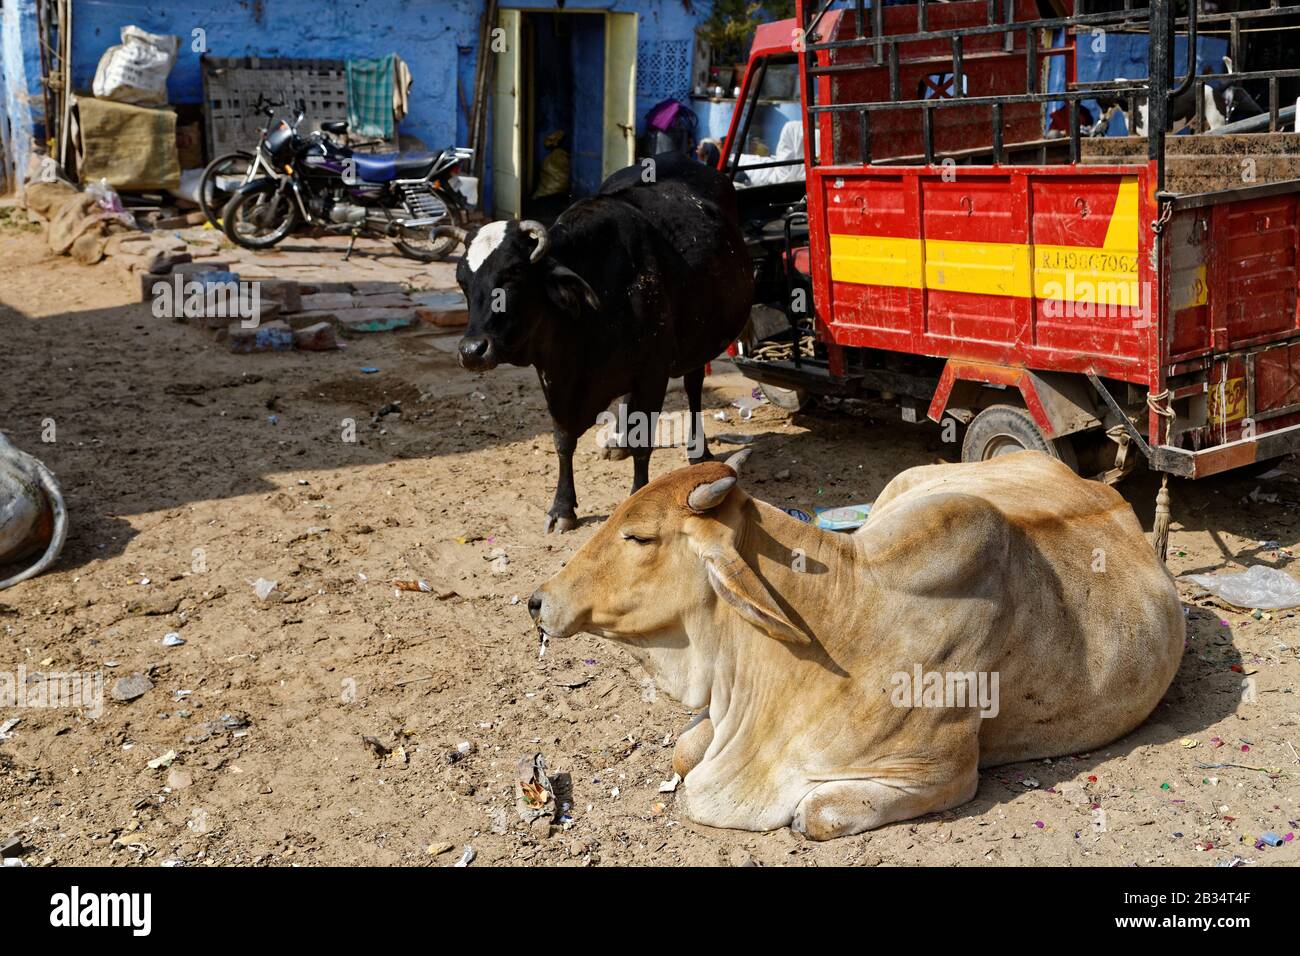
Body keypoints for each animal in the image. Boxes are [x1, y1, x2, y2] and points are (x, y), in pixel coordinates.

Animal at [446, 153, 753, 533]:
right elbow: (563, 441)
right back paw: (618, 441)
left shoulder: (652, 374)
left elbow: (644, 444)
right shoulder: (555, 376)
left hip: (698, 344)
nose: (472, 351)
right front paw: (562, 508)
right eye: (462, 281)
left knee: (694, 388)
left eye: (513, 274)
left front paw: (637, 495)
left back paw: (698, 450)